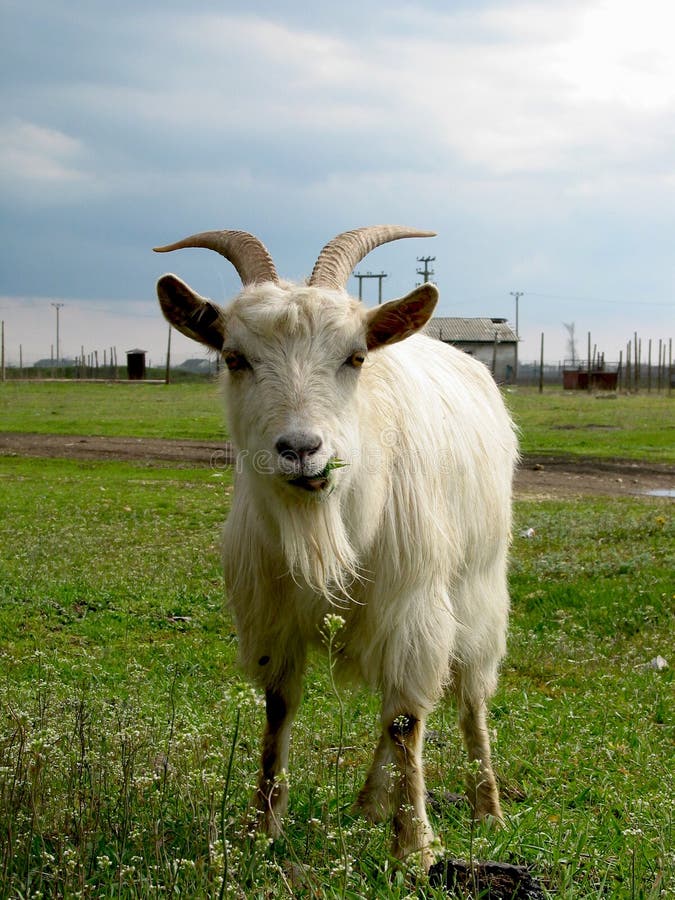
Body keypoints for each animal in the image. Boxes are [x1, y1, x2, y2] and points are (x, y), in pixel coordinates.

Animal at [154, 225, 518, 869]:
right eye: (234, 357)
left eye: (355, 357)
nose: (301, 449)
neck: (329, 526)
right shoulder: (270, 617)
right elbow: (280, 710)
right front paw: (262, 827)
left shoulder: (413, 606)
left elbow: (407, 720)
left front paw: (414, 848)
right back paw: (369, 805)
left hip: (477, 589)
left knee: (467, 697)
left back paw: (487, 807)